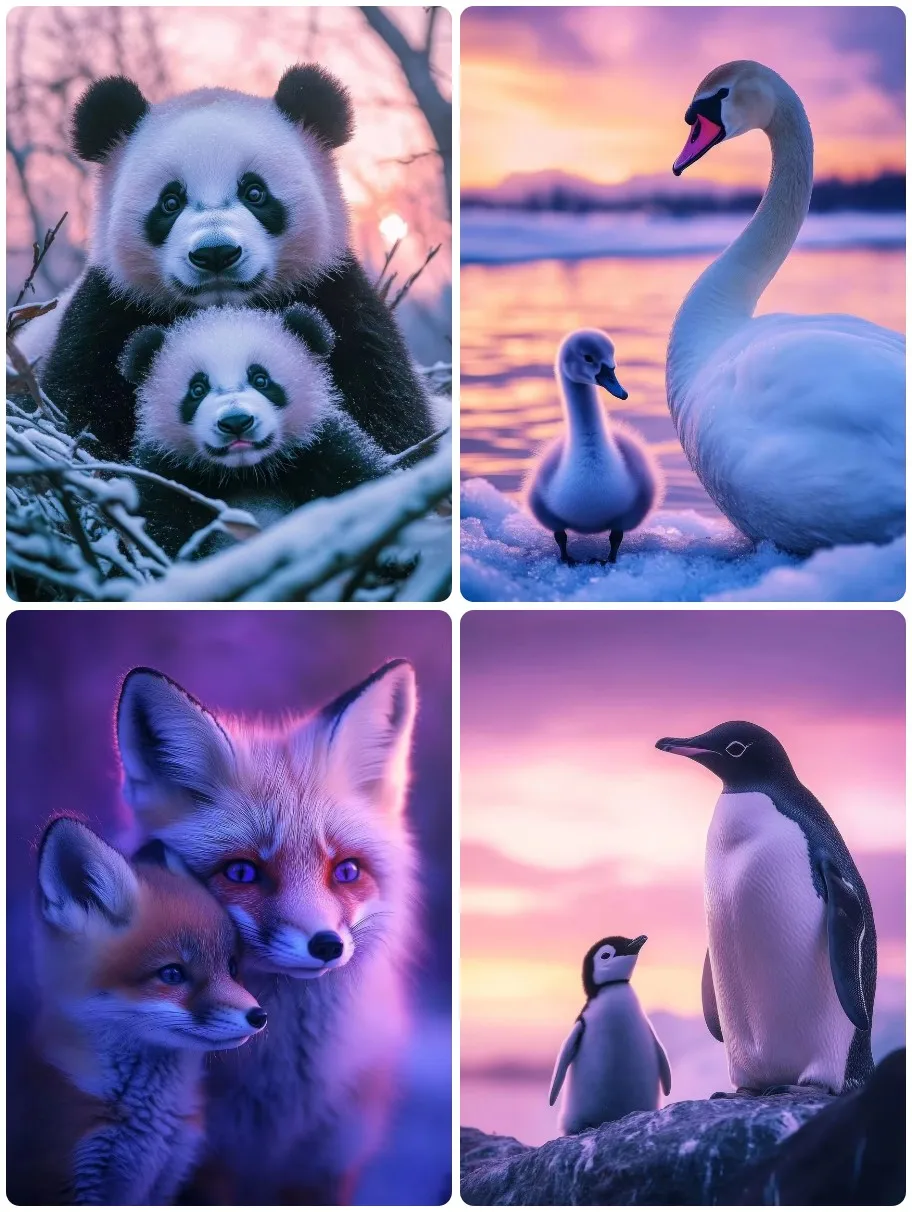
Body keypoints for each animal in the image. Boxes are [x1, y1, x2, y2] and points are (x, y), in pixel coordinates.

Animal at [39, 65, 435, 461]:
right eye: (170, 202)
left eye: (255, 193)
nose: (216, 252)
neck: (223, 309)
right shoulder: (109, 315)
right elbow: (84, 408)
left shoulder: (335, 299)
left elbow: (390, 413)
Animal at [117, 303, 388, 559]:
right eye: (197, 389)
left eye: (261, 380)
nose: (236, 421)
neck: (247, 473)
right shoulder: (165, 478)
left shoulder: (324, 452)